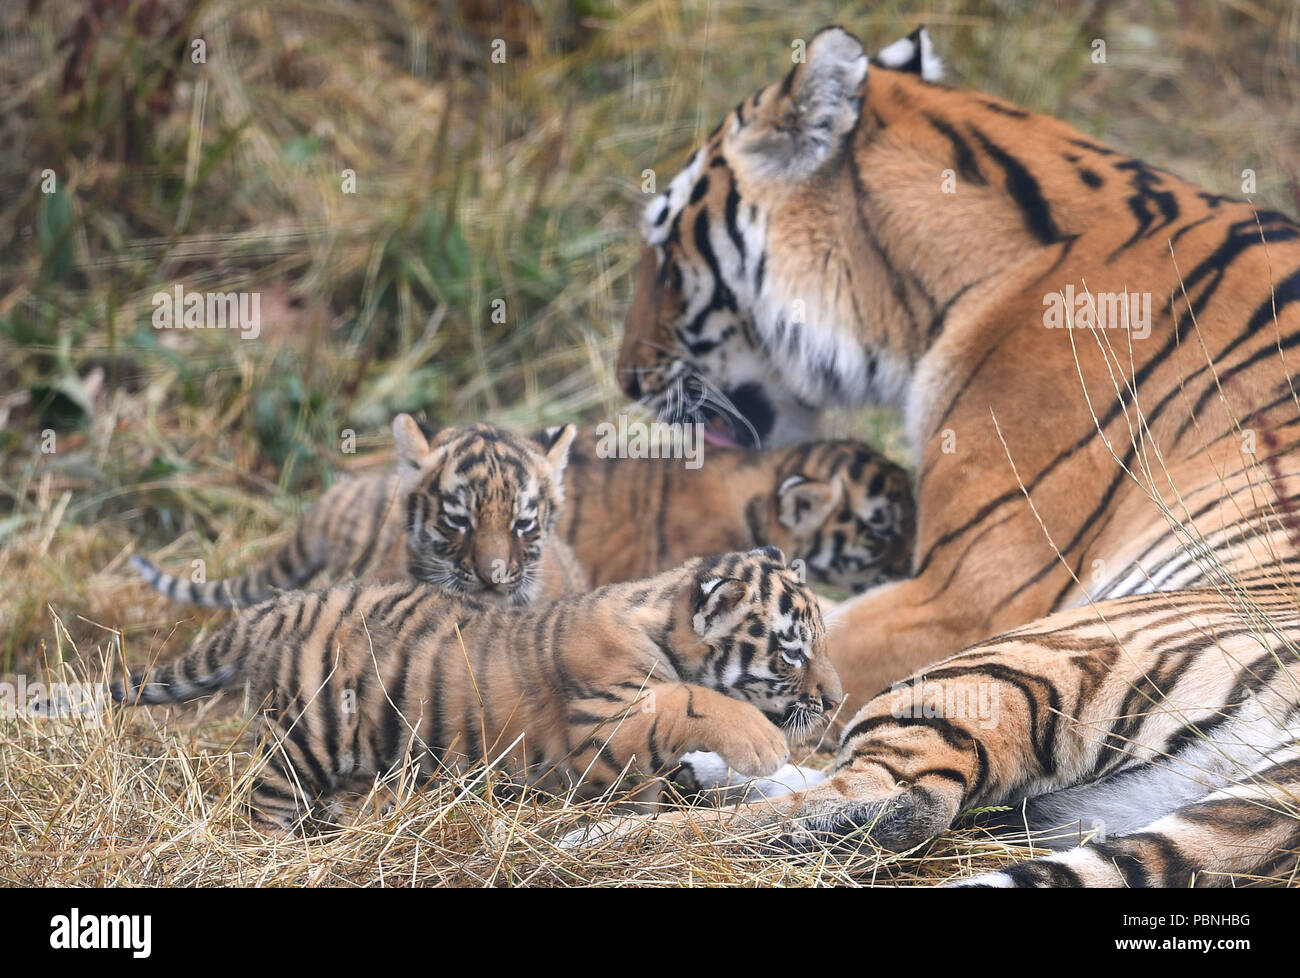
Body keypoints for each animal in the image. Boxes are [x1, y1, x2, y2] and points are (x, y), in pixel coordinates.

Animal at [109, 547, 842, 828]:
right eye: (792, 653)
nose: (836, 701)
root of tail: (275, 608)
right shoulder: (598, 731)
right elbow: (687, 699)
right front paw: (761, 744)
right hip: (304, 737)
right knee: (266, 802)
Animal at [609, 24, 1300, 885]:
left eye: (666, 253)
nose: (625, 379)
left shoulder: (954, 592)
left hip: (1028, 654)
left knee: (888, 797)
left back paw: (604, 836)